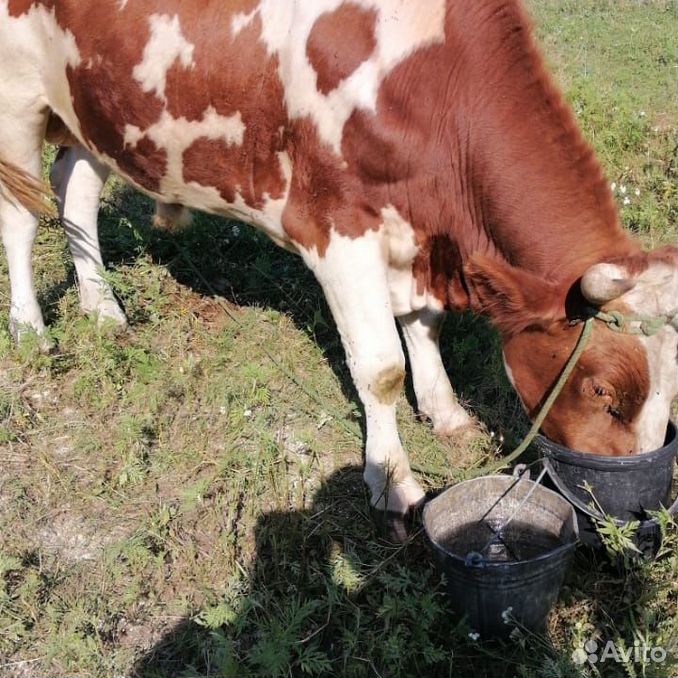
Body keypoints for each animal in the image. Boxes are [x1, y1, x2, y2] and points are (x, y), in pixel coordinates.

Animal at [0, 1, 676, 540]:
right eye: (601, 390)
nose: (637, 510)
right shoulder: (337, 231)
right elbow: (380, 369)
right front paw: (394, 483)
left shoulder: (417, 235)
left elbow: (425, 328)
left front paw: (447, 413)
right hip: (18, 103)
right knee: (21, 217)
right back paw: (32, 330)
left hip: (93, 106)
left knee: (76, 190)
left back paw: (103, 310)